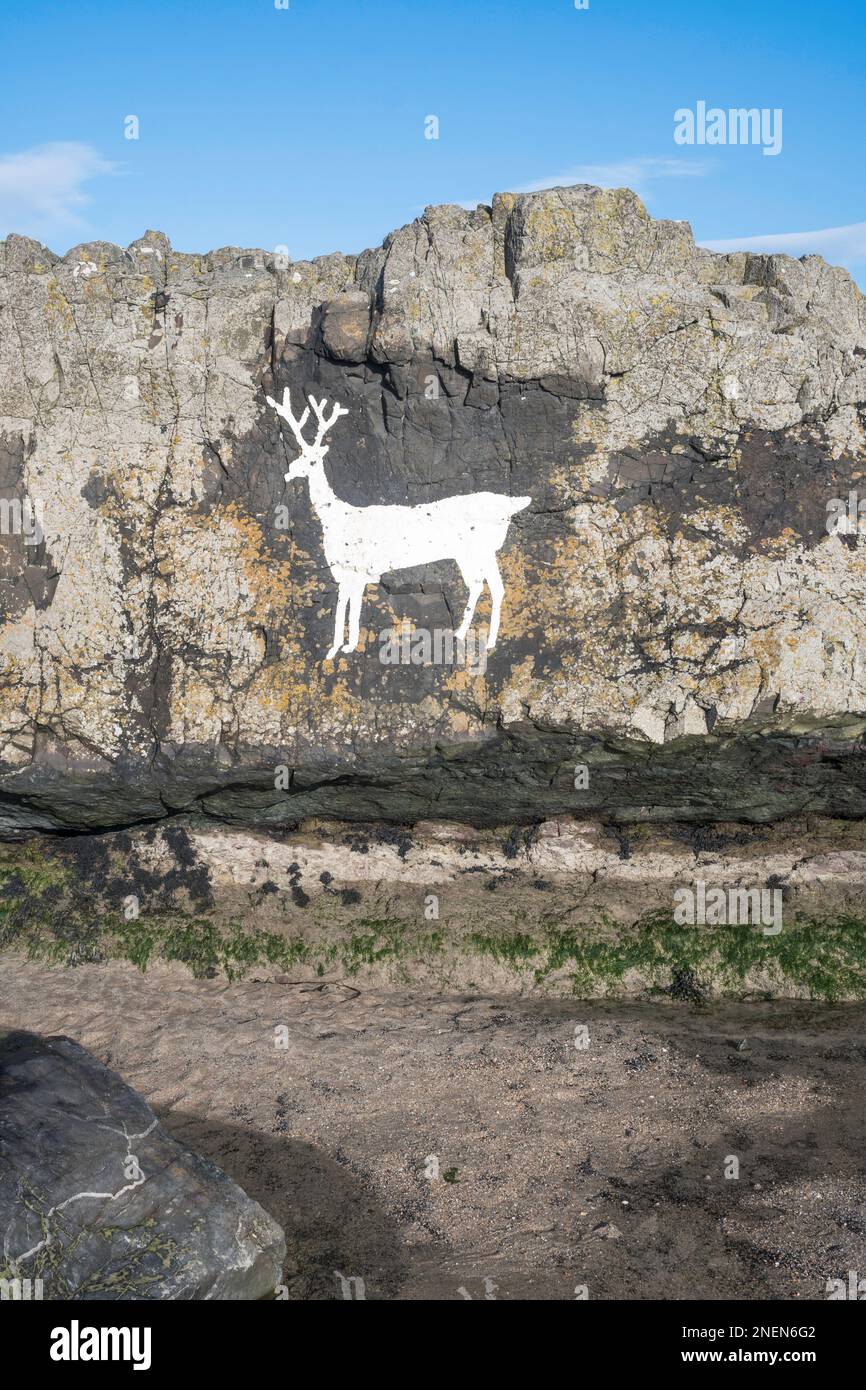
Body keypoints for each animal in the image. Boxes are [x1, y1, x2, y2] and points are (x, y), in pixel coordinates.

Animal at [266, 388, 531, 661]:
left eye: (312, 460)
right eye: (299, 454)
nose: (288, 472)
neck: (336, 519)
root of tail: (512, 504)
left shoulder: (358, 570)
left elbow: (351, 609)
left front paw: (345, 647)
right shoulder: (343, 572)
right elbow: (343, 608)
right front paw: (336, 648)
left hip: (480, 550)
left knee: (491, 587)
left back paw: (480, 639)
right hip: (472, 554)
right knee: (485, 586)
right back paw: (470, 636)